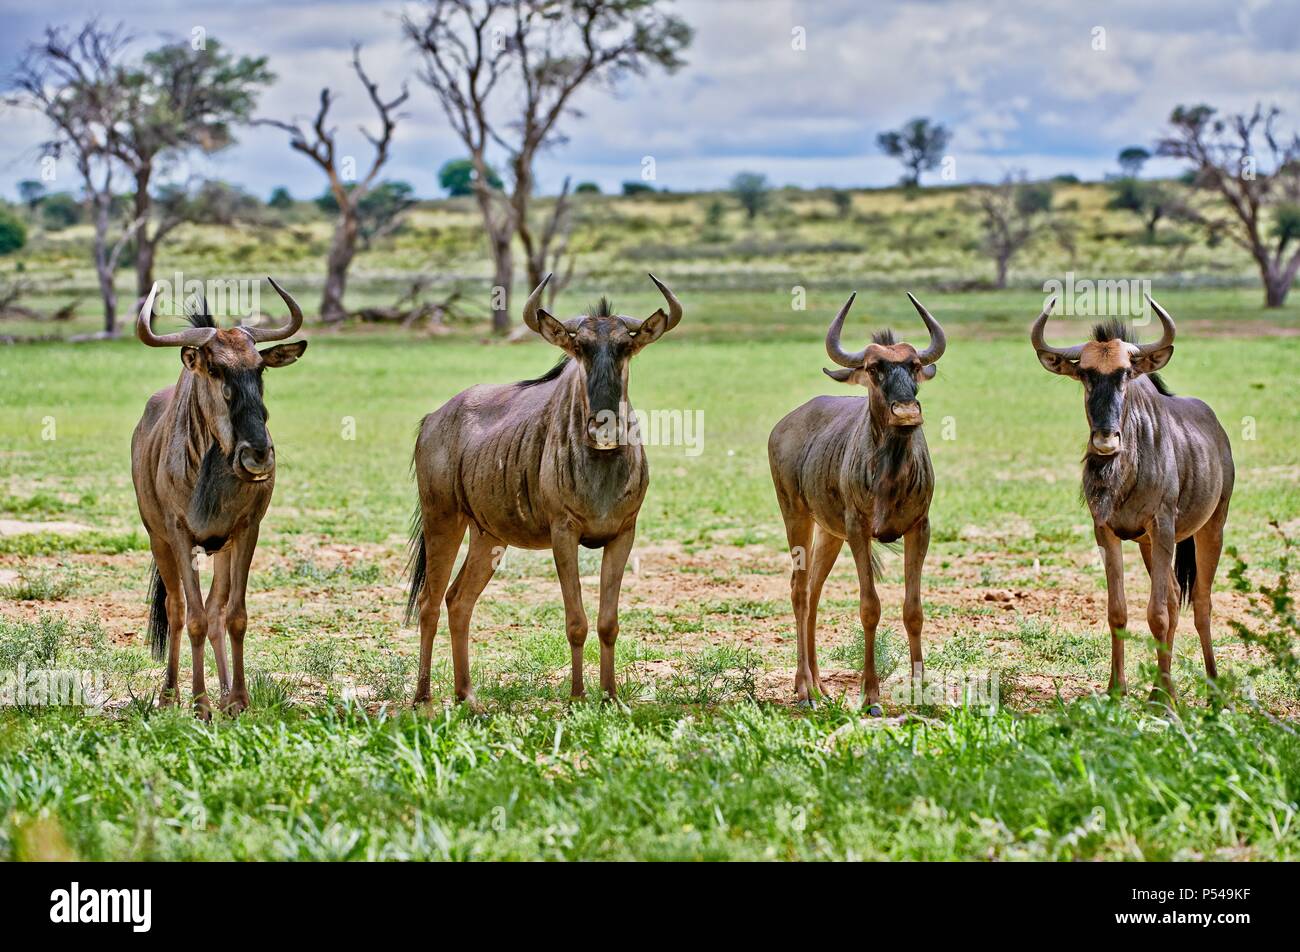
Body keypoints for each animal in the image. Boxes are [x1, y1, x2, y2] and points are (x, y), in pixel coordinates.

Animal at [131, 278, 308, 716]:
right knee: (177, 610)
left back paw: (225, 691)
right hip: (158, 539)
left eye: (259, 369)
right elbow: (191, 616)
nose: (257, 454)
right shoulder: (179, 535)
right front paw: (200, 704)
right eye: (214, 369)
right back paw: (171, 694)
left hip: (221, 549)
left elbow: (234, 615)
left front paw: (239, 699)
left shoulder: (245, 532)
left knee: (215, 610)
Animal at [406, 273, 683, 706]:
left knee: (459, 600)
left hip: (488, 537)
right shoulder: (563, 532)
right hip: (443, 521)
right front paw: (577, 698)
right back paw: (423, 699)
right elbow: (576, 621)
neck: (601, 470)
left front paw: (609, 696)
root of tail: (434, 418)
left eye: (625, 347)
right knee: (429, 603)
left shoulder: (623, 533)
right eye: (580, 348)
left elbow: (607, 622)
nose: (603, 427)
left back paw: (468, 697)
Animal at [768, 293, 946, 711]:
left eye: (914, 366)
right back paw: (804, 691)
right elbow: (870, 607)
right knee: (799, 591)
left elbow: (913, 610)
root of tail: (783, 426)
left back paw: (819, 686)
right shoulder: (858, 531)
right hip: (796, 516)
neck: (890, 473)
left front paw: (921, 693)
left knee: (814, 592)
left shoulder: (920, 528)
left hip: (829, 533)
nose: (907, 413)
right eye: (873, 368)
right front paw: (871, 696)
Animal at [1031, 296, 1233, 702]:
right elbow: (1119, 611)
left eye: (1125, 373)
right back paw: (1163, 686)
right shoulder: (1107, 531)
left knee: (1200, 603)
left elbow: (1157, 614)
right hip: (1148, 544)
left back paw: (1212, 688)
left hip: (1211, 527)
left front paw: (1165, 700)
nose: (1105, 439)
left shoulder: (1164, 527)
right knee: (1174, 595)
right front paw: (1117, 690)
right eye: (1086, 374)